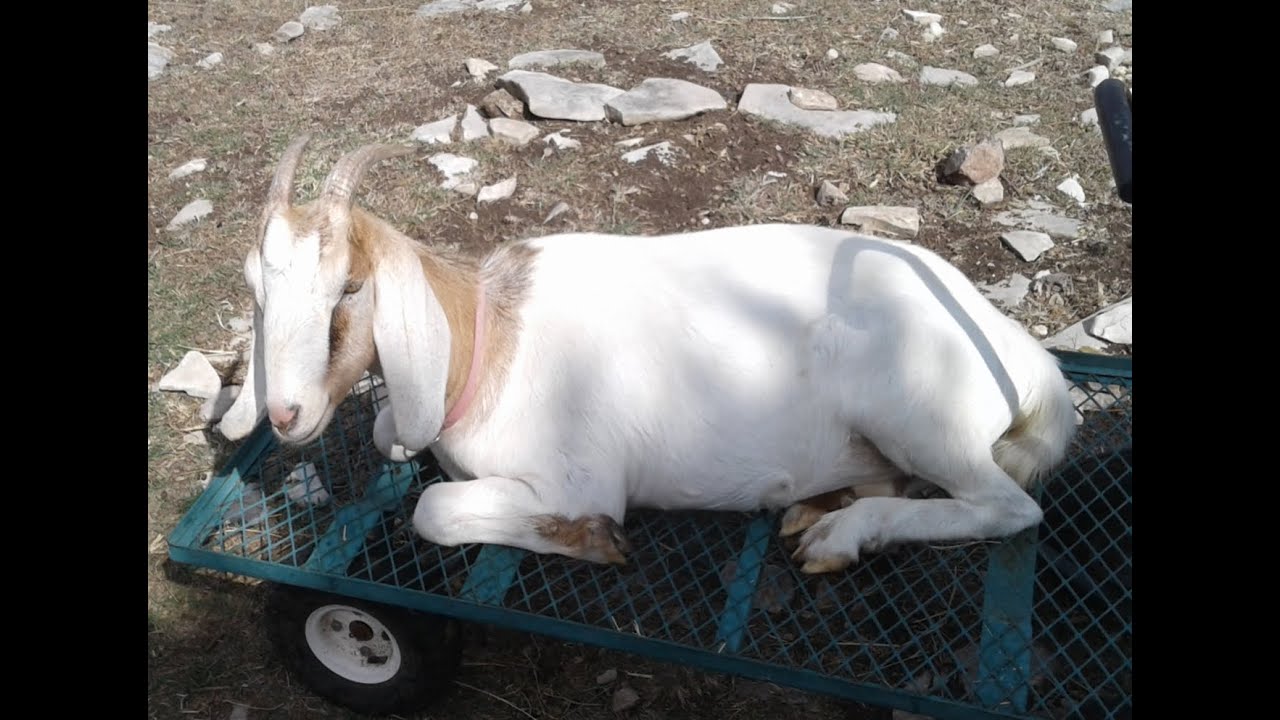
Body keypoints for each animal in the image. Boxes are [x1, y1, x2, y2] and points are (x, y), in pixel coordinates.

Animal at [220, 135, 1078, 573]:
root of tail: (1022, 355)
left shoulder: (580, 477)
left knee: (1008, 506)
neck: (487, 343)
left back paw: (839, 537)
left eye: (348, 286)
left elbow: (434, 511)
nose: (286, 413)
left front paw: (593, 541)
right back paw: (819, 508)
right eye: (254, 286)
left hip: (914, 411)